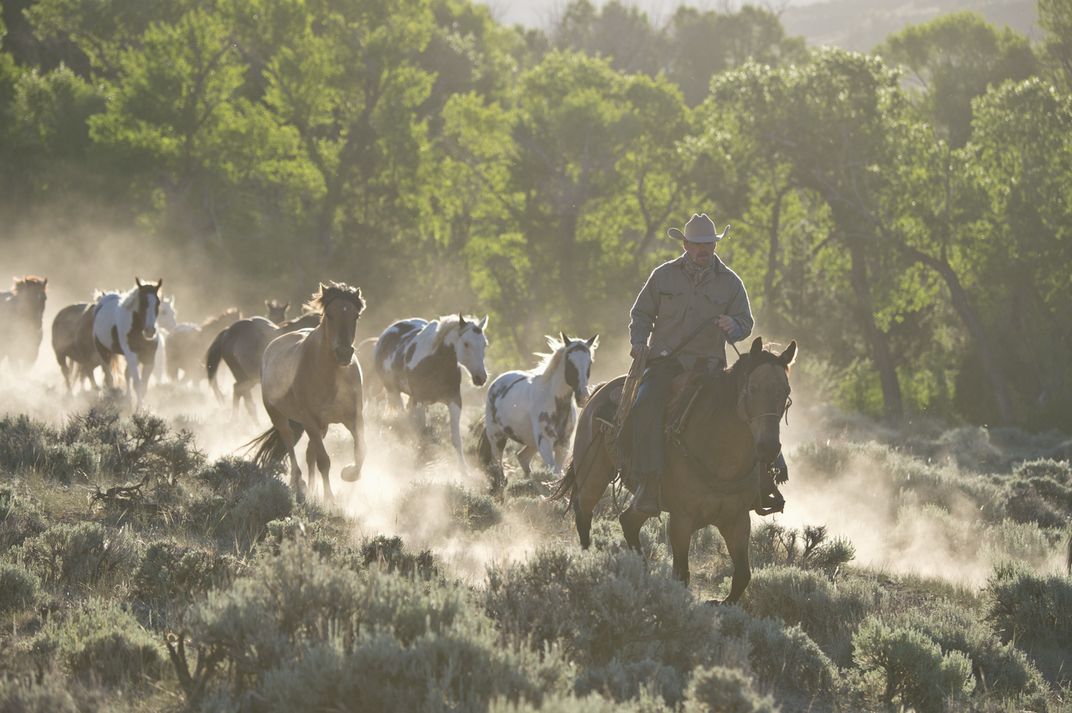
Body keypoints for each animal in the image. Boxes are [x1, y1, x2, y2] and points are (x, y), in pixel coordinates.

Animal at [91, 278, 164, 408]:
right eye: (142, 302)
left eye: (158, 303)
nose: (150, 331)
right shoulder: (132, 354)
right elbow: (137, 384)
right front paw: (138, 410)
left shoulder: (148, 358)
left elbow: (143, 386)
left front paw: (139, 408)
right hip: (104, 353)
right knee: (110, 379)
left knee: (125, 375)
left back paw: (127, 401)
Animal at [249, 282, 366, 503]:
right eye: (329, 314)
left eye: (356, 315)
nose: (344, 353)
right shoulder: (310, 420)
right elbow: (324, 461)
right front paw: (329, 499)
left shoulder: (354, 418)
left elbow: (360, 452)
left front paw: (347, 473)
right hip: (279, 415)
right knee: (289, 443)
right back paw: (299, 483)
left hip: (322, 425)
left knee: (309, 454)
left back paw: (311, 488)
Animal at [372, 314, 489, 471]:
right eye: (466, 343)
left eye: (484, 344)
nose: (481, 378)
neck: (436, 361)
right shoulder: (420, 401)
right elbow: (421, 434)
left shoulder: (454, 401)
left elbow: (456, 439)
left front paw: (463, 471)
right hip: (394, 392)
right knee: (403, 423)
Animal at [478, 333, 598, 491]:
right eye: (570, 362)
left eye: (589, 362)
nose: (583, 396)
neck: (555, 402)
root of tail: (496, 383)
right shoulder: (545, 442)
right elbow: (553, 473)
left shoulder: (563, 445)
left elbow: (557, 473)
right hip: (497, 438)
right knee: (499, 469)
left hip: (531, 443)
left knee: (522, 458)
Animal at [551, 337, 797, 605]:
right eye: (752, 388)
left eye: (786, 393)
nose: (768, 447)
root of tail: (602, 388)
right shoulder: (682, 519)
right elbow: (682, 574)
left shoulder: (737, 520)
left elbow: (742, 577)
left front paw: (718, 603)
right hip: (593, 473)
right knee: (584, 513)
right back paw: (589, 564)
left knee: (627, 521)